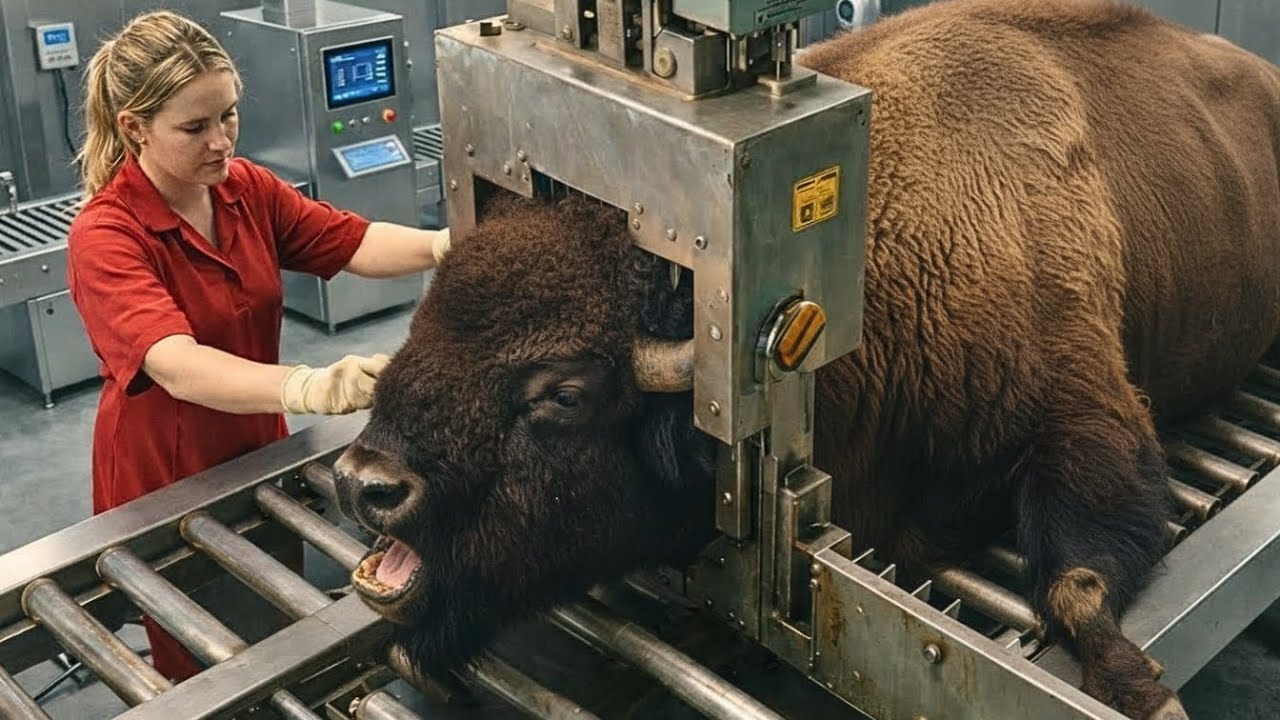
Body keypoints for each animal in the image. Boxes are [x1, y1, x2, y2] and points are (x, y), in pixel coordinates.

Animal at [332, 1, 1280, 718]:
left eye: (563, 395)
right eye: (427, 311)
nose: (364, 482)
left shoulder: (1086, 410)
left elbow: (1076, 580)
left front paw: (1147, 694)